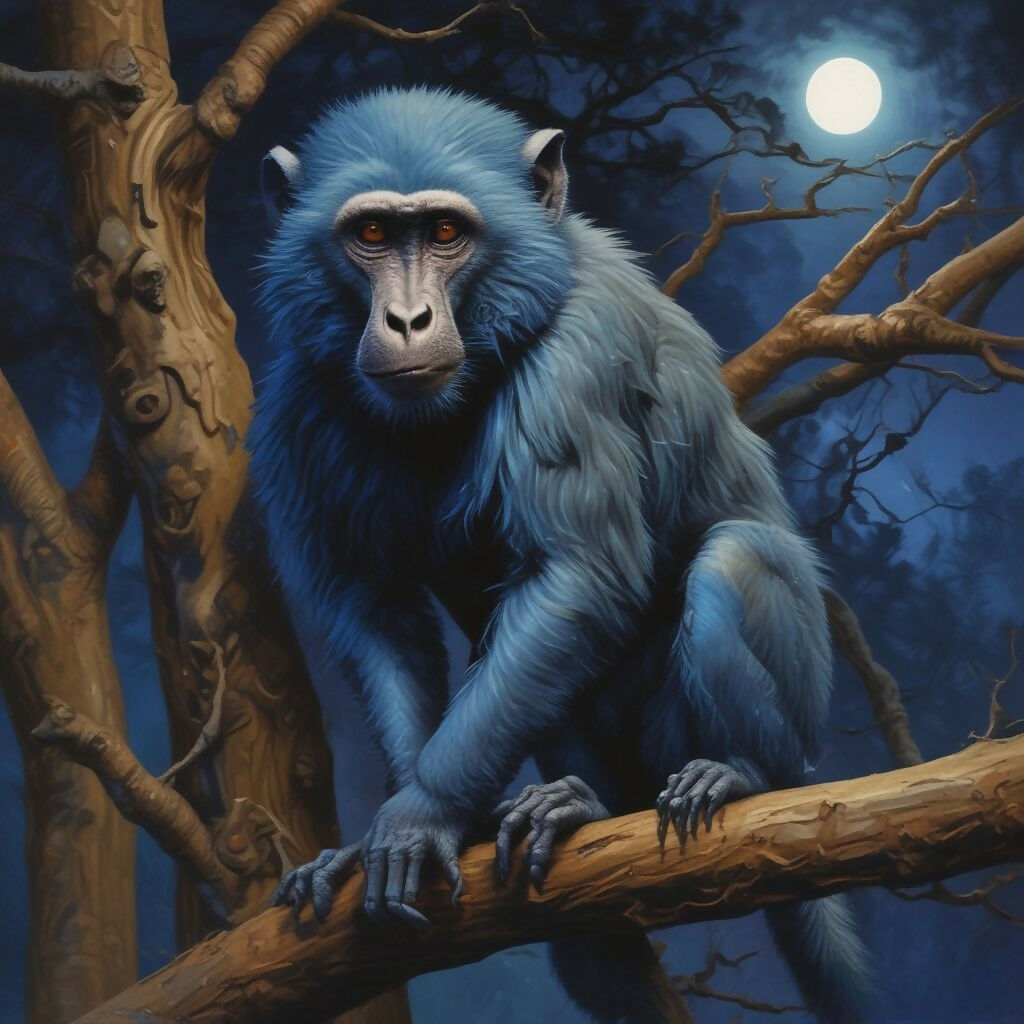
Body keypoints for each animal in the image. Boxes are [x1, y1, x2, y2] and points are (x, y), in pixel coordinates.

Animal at [250, 87, 871, 1024]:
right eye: (372, 234)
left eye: (444, 232)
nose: (406, 319)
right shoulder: (300, 397)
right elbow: (376, 617)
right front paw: (397, 827)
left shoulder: (575, 358)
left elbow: (575, 575)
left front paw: (421, 813)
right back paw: (580, 805)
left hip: (796, 727)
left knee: (731, 565)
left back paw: (739, 776)